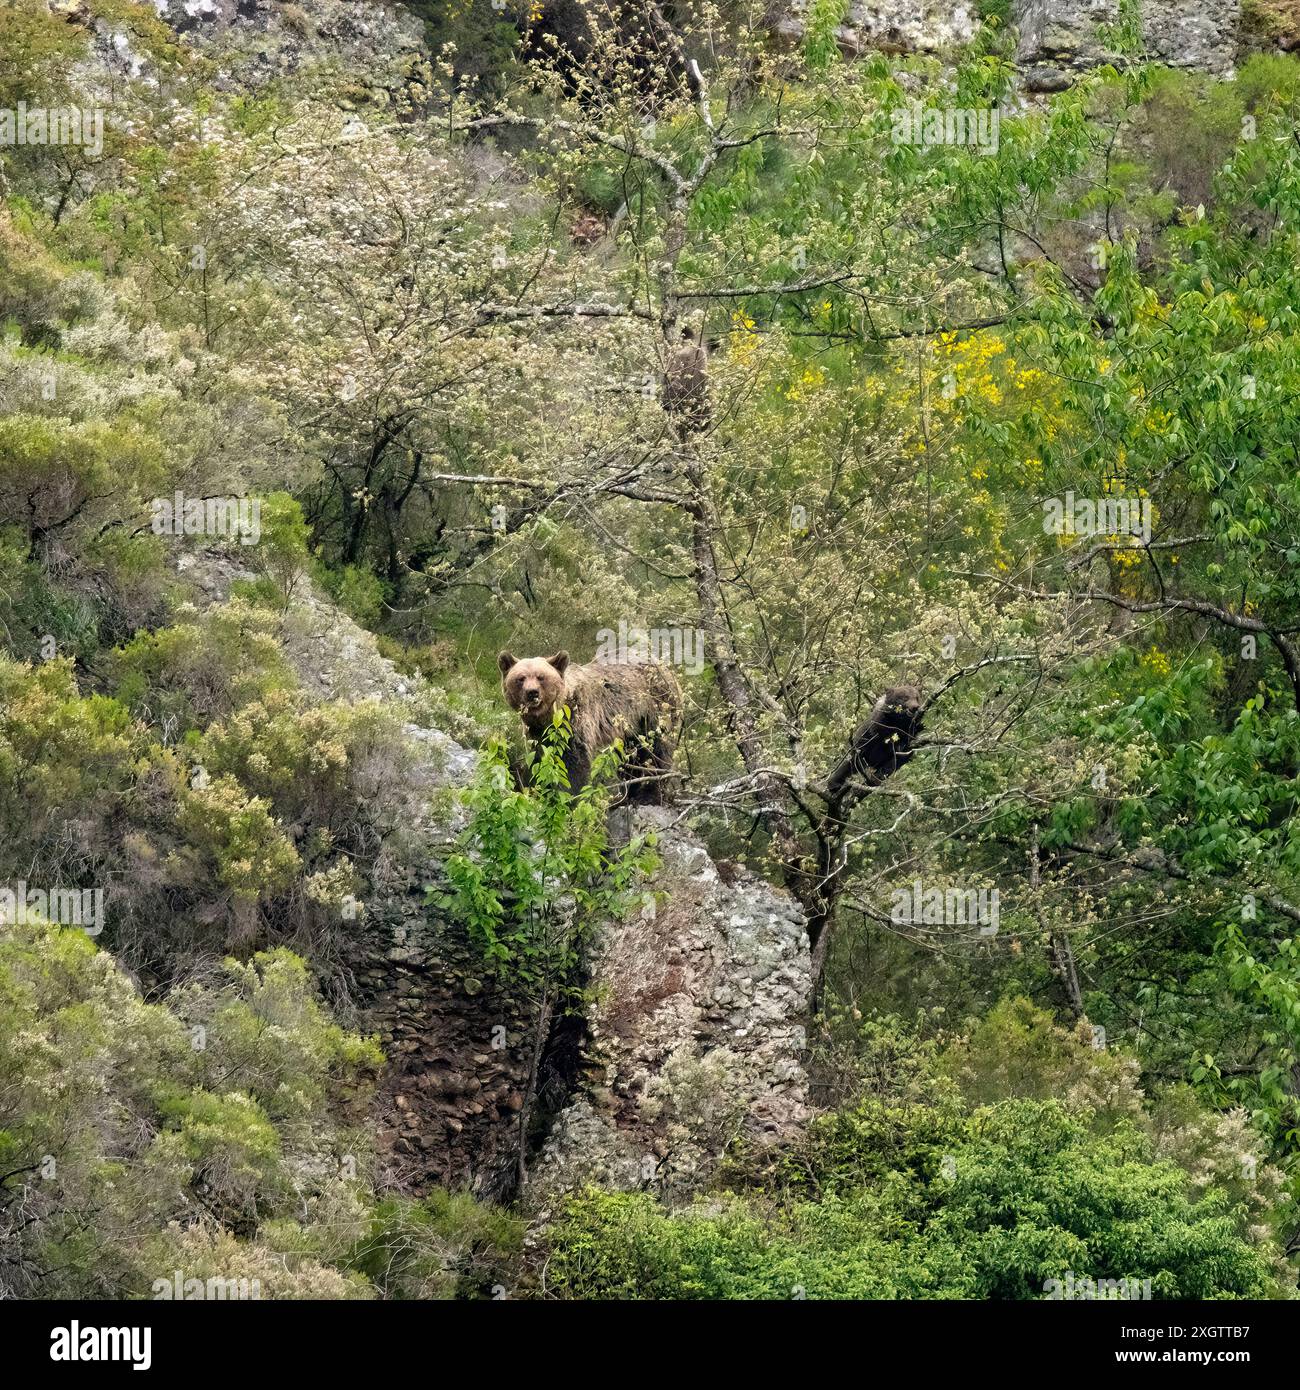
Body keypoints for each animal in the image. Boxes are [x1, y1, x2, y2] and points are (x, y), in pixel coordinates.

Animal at [498, 650, 683, 802]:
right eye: (521, 678)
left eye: (541, 677)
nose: (532, 693)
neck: (550, 717)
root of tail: (668, 669)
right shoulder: (537, 733)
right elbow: (540, 759)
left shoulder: (574, 720)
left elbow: (574, 762)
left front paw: (568, 798)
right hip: (630, 726)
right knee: (630, 754)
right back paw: (626, 795)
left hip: (655, 706)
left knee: (658, 750)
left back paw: (650, 794)